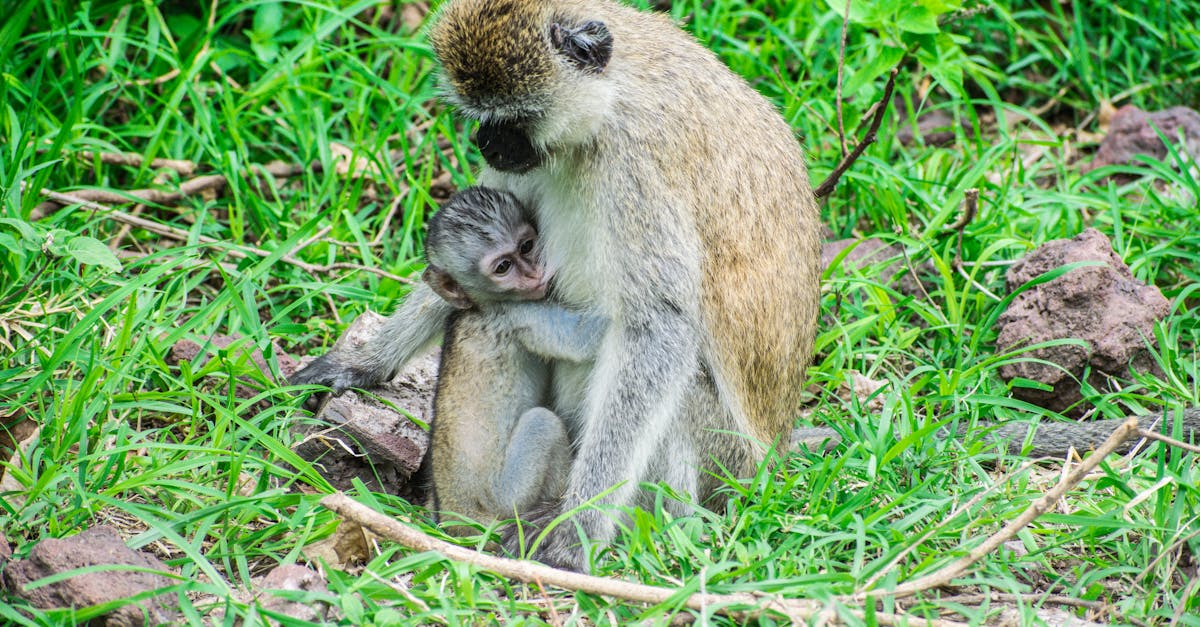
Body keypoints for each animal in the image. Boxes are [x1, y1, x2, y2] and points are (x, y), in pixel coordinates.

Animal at [295, 186, 604, 526]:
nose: (534, 274)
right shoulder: (518, 315)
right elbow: (591, 337)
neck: (478, 306)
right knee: (543, 424)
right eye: (503, 267)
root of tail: (457, 516)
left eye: (527, 246)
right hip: (503, 498)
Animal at [427, 0, 820, 569]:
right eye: (480, 115)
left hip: (728, 461)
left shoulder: (634, 165)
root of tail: (770, 461)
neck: (618, 89)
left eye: (516, 118)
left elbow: (659, 326)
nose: (485, 143)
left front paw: (576, 532)